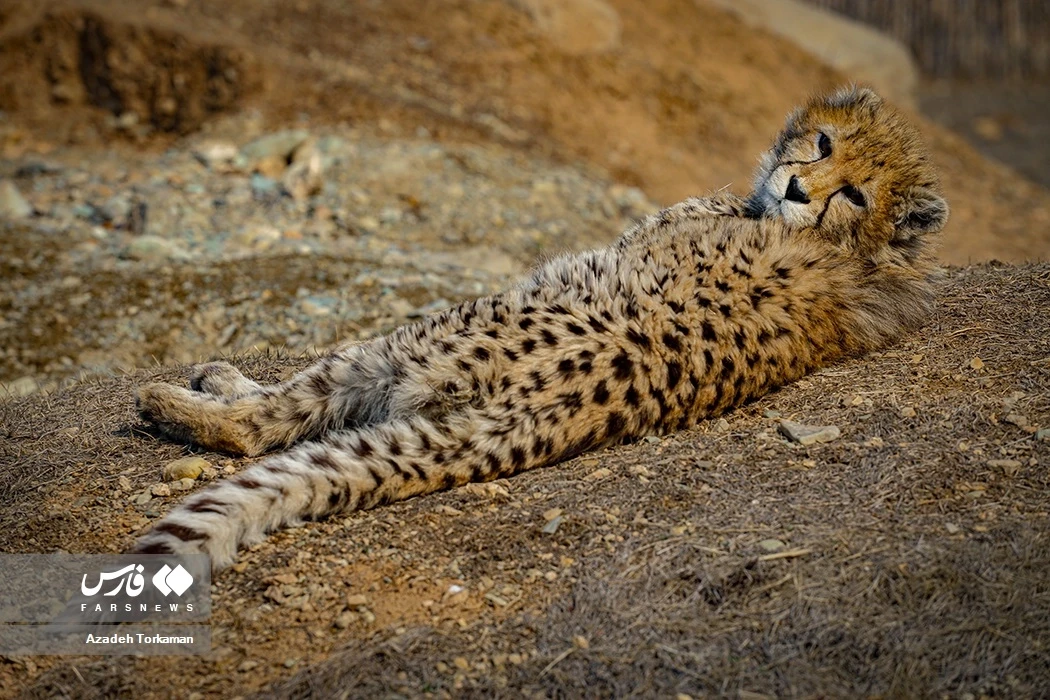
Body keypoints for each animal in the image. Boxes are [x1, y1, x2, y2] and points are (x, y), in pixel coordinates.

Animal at [132, 86, 949, 569]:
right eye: (824, 144)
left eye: (853, 193)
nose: (799, 188)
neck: (857, 250)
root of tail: (538, 413)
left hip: (433, 332)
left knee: (265, 421)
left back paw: (182, 394)